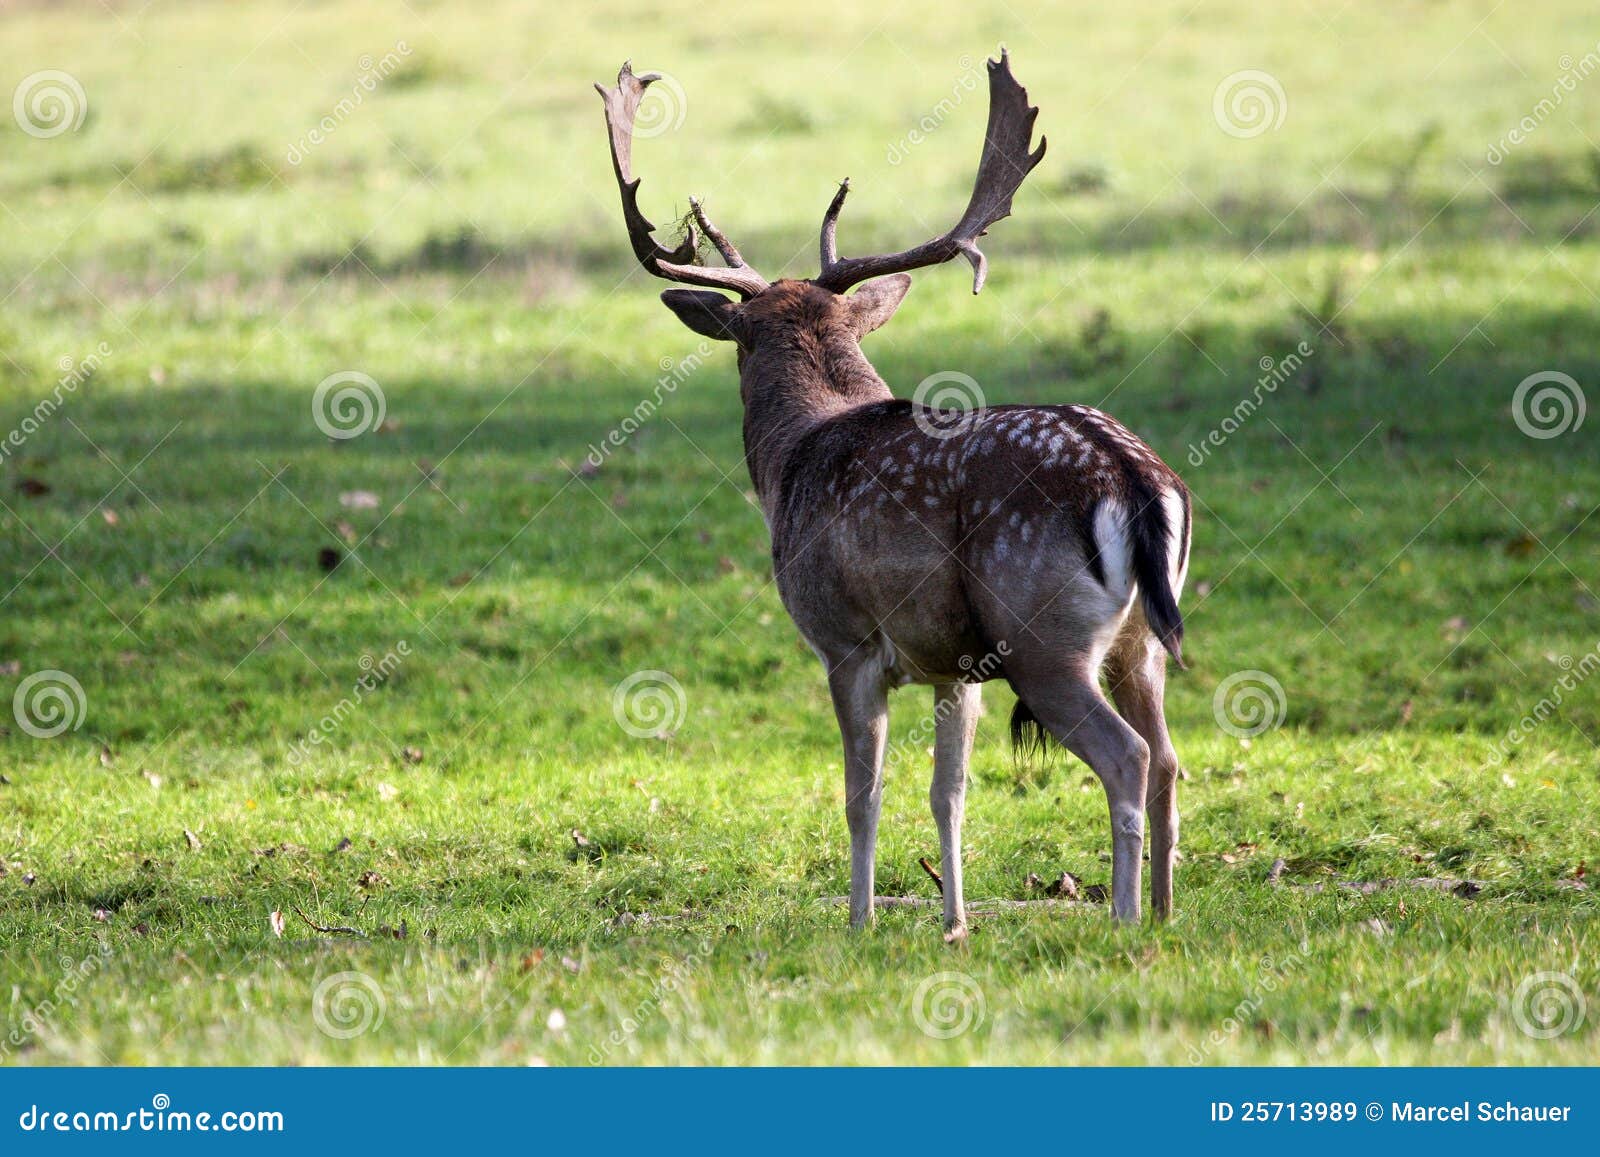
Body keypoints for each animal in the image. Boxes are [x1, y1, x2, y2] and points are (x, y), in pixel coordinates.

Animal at [595, 51, 1191, 939]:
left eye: (738, 341)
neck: (793, 460)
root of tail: (1134, 478)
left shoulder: (844, 641)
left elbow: (861, 795)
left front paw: (859, 919)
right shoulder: (953, 663)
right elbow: (950, 794)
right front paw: (954, 921)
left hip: (1040, 635)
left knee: (1129, 756)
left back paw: (1120, 919)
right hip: (1137, 639)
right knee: (1171, 758)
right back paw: (1163, 912)